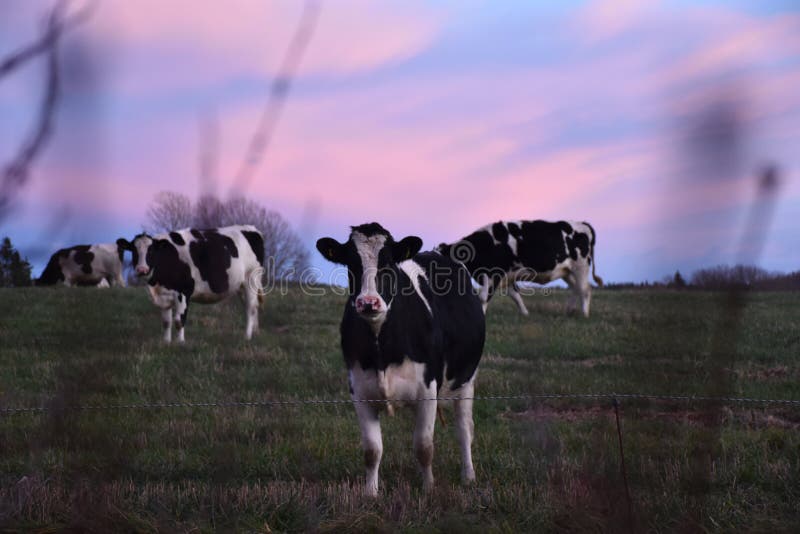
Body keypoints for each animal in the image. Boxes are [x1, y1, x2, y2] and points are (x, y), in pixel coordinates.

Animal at [117, 225, 265, 343]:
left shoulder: (183, 292)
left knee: (250, 308)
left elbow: (179, 321)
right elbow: (166, 322)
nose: (141, 269)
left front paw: (181, 343)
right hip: (241, 286)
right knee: (253, 307)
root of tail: (251, 228)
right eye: (134, 251)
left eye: (151, 250)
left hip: (251, 280)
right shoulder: (164, 296)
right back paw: (255, 332)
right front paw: (166, 343)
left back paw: (247, 336)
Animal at [316, 222, 485, 496]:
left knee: (464, 428)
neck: (381, 350)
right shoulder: (359, 391)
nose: (368, 302)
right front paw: (370, 493)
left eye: (388, 262)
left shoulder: (428, 389)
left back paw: (468, 476)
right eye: (351, 262)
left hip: (466, 379)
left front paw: (428, 488)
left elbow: (424, 446)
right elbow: (372, 450)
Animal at [437, 220, 603, 317]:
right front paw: (525, 314)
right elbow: (515, 296)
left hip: (580, 266)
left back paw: (585, 314)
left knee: (585, 289)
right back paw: (569, 311)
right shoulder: (507, 277)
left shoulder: (493, 274)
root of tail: (583, 224)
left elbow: (483, 298)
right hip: (566, 271)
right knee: (576, 288)